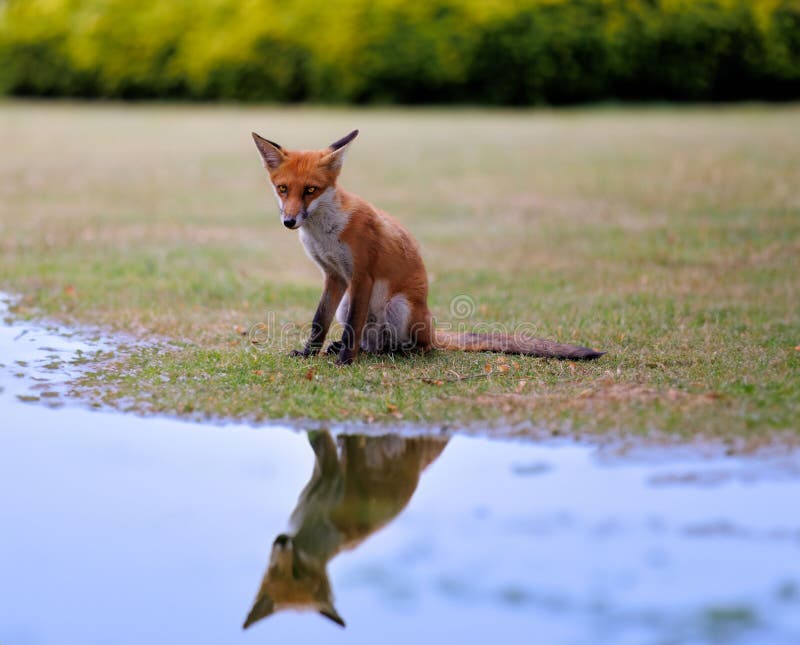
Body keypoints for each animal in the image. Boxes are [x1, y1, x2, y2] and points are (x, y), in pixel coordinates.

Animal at [243, 431, 447, 629]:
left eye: (297, 572)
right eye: (276, 572)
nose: (281, 541)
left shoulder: (331, 477)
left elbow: (320, 443)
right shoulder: (316, 486)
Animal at [252, 130, 604, 365]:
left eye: (311, 190)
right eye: (283, 189)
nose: (289, 221)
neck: (325, 233)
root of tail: (433, 330)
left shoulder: (362, 275)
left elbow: (351, 326)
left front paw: (344, 362)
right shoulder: (335, 276)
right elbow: (318, 322)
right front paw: (309, 353)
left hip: (398, 307)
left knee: (417, 347)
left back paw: (396, 352)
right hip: (355, 303)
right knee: (372, 343)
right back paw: (365, 350)